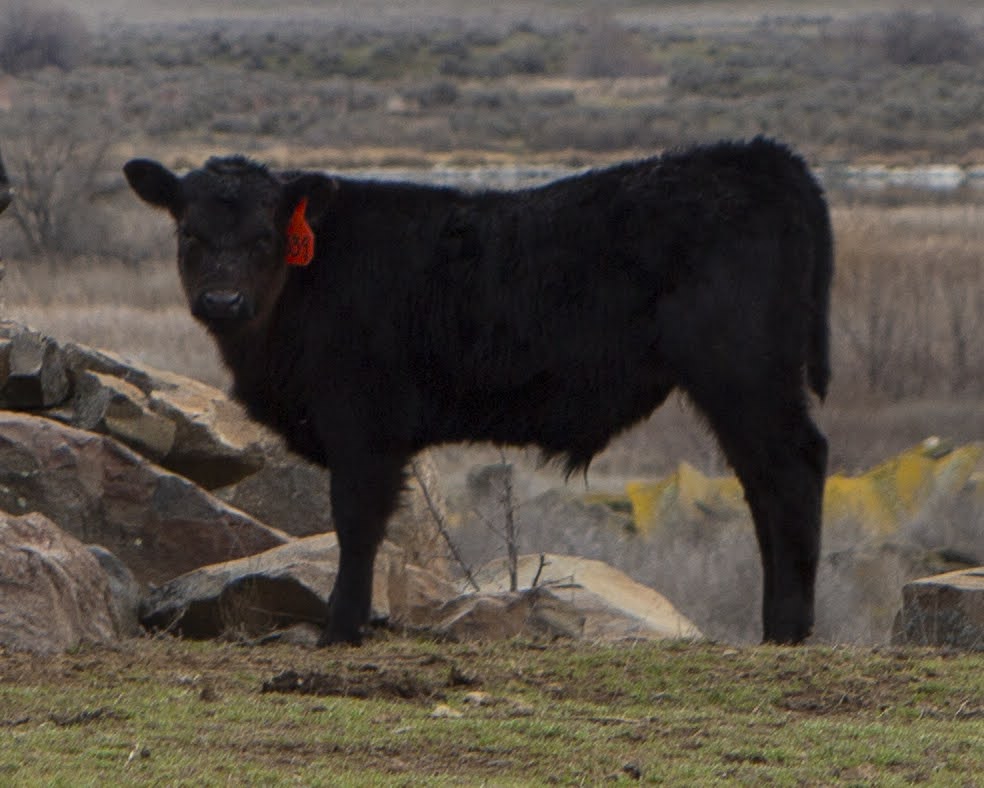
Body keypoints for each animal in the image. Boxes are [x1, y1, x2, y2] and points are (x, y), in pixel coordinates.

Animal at [124, 136, 832, 646]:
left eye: (265, 237)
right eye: (189, 234)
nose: (223, 300)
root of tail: (757, 155)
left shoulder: (363, 425)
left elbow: (356, 524)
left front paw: (341, 630)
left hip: (743, 372)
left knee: (792, 468)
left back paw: (787, 628)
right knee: (762, 481)